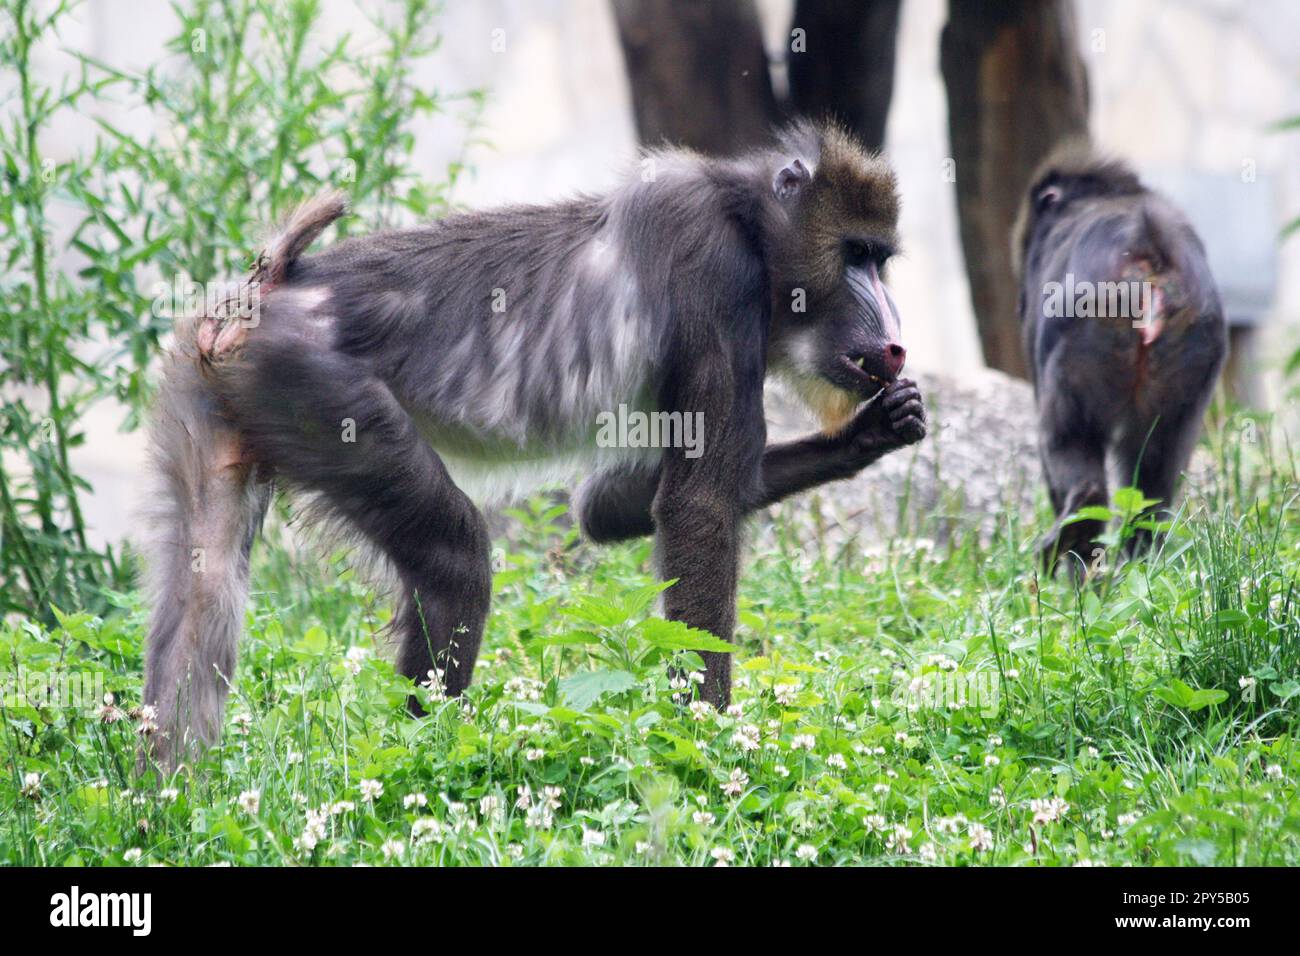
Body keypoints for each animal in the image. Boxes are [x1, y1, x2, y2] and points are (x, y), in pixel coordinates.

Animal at [139, 120, 926, 768]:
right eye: (855, 256)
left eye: (881, 260)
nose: (894, 342)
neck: (750, 221)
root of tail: (265, 294)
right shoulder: (715, 273)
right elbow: (699, 506)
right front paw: (709, 747)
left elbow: (604, 507)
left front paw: (871, 434)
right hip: (319, 392)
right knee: (453, 560)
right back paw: (426, 761)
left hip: (214, 403)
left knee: (202, 588)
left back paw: (164, 803)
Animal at [1012, 141, 1226, 576]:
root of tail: (1150, 257)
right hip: (1190, 362)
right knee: (1157, 475)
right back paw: (1141, 559)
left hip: (1083, 355)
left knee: (1069, 441)